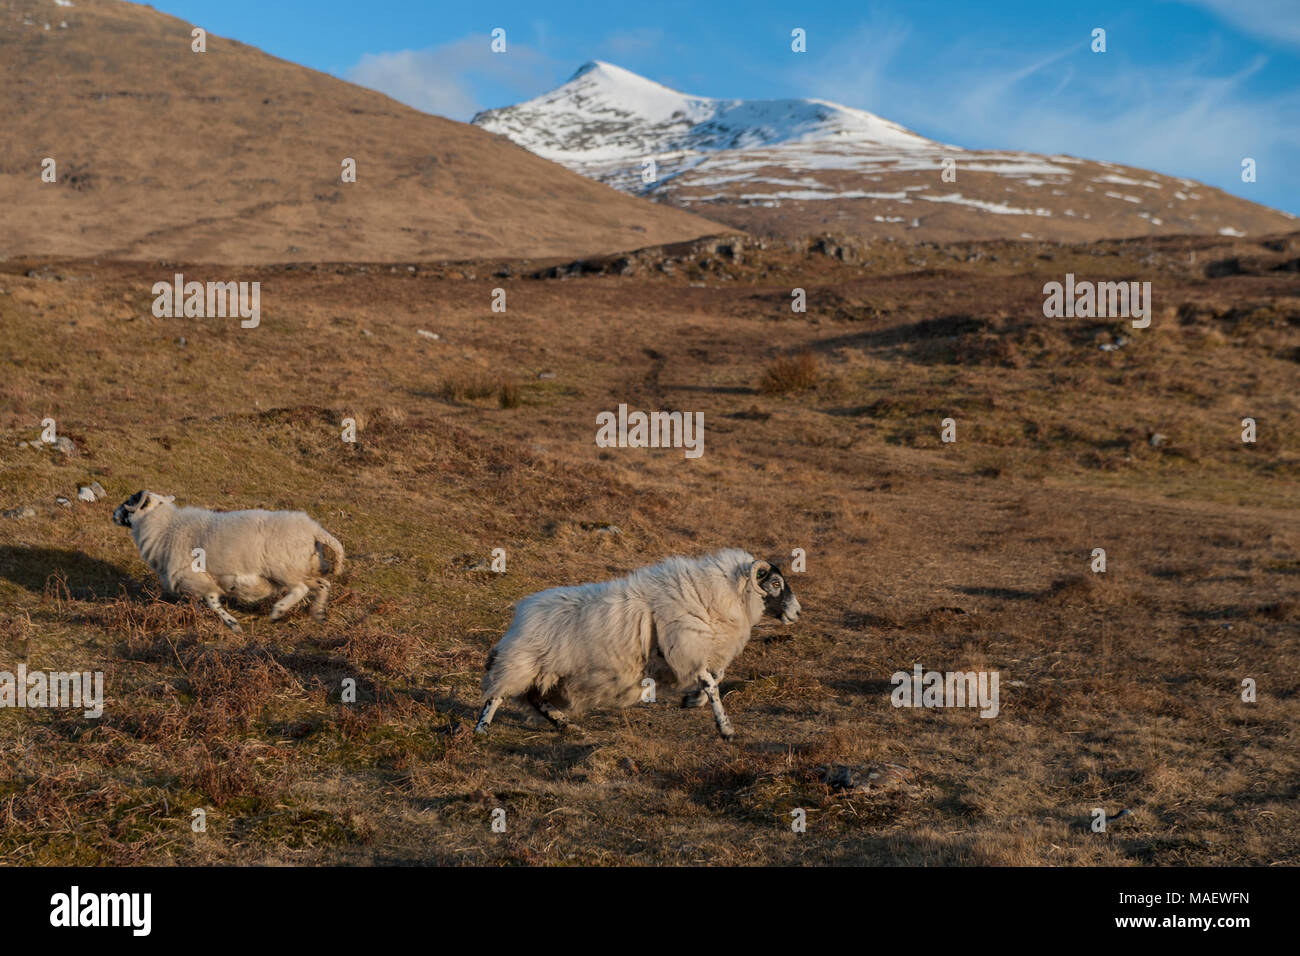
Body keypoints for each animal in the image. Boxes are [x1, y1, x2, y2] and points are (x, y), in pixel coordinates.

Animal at [112, 490, 344, 633]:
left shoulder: (197, 577)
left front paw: (233, 624)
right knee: (323, 584)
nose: (114, 514)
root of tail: (315, 530)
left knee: (300, 589)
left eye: (130, 501)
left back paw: (278, 610)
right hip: (303, 568)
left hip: (284, 569)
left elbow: (212, 603)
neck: (166, 527)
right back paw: (319, 614)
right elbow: (208, 602)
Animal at [475, 548, 801, 740]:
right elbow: (712, 683)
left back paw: (565, 724)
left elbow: (716, 677)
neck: (715, 593)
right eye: (775, 584)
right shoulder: (685, 647)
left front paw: (692, 701)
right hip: (522, 663)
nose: (797, 612)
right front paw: (726, 729)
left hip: (550, 673)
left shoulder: (695, 651)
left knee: (535, 698)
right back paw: (481, 729)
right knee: (497, 695)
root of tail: (522, 611)